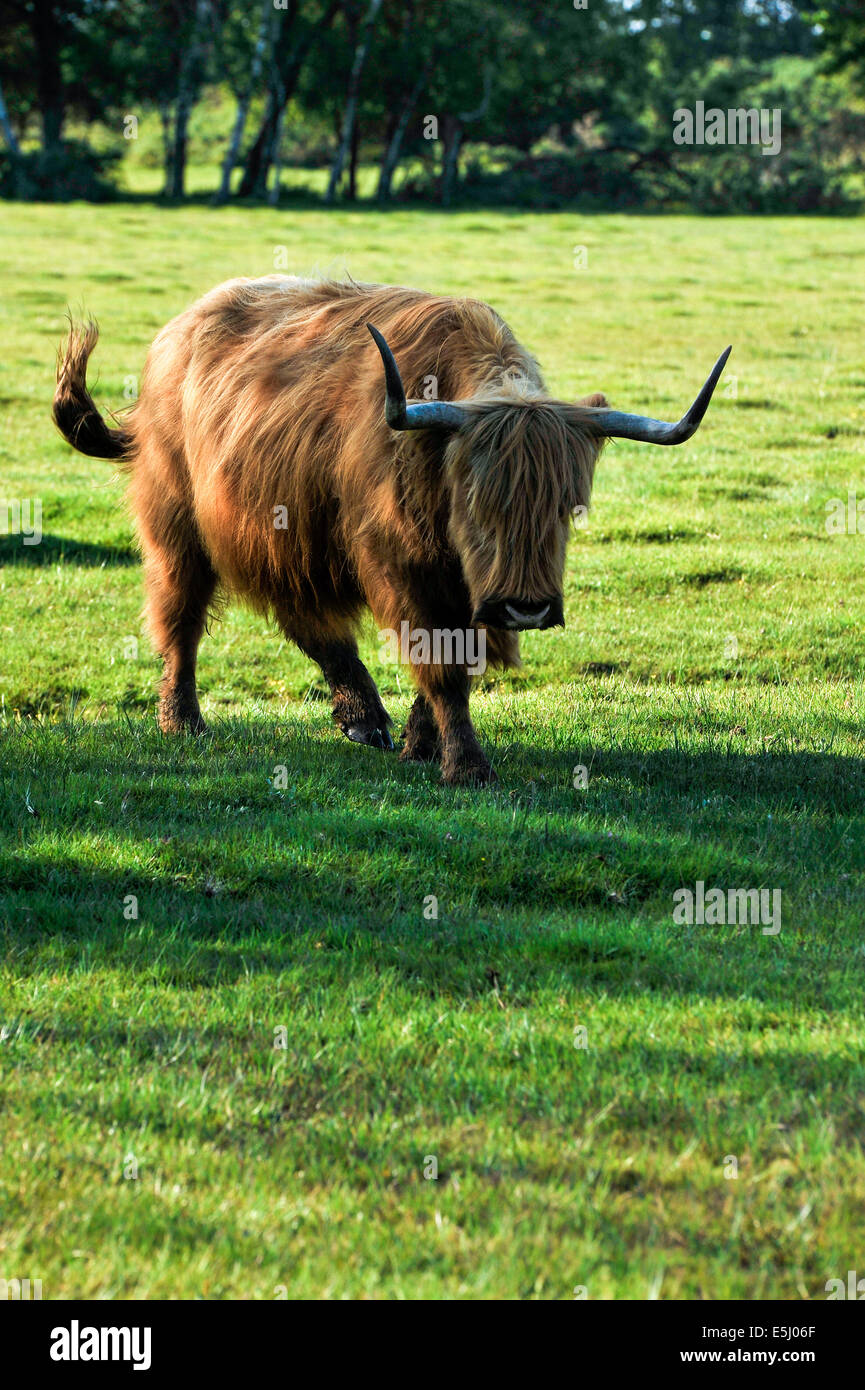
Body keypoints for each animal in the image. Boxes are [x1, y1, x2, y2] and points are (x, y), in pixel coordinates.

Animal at [53, 276, 730, 785]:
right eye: (477, 502)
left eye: (569, 506)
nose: (528, 608)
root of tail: (177, 332)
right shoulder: (402, 567)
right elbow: (440, 664)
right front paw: (466, 767)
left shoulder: (465, 591)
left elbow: (457, 660)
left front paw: (419, 744)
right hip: (177, 524)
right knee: (181, 615)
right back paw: (183, 721)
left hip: (289, 535)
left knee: (305, 618)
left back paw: (362, 718)